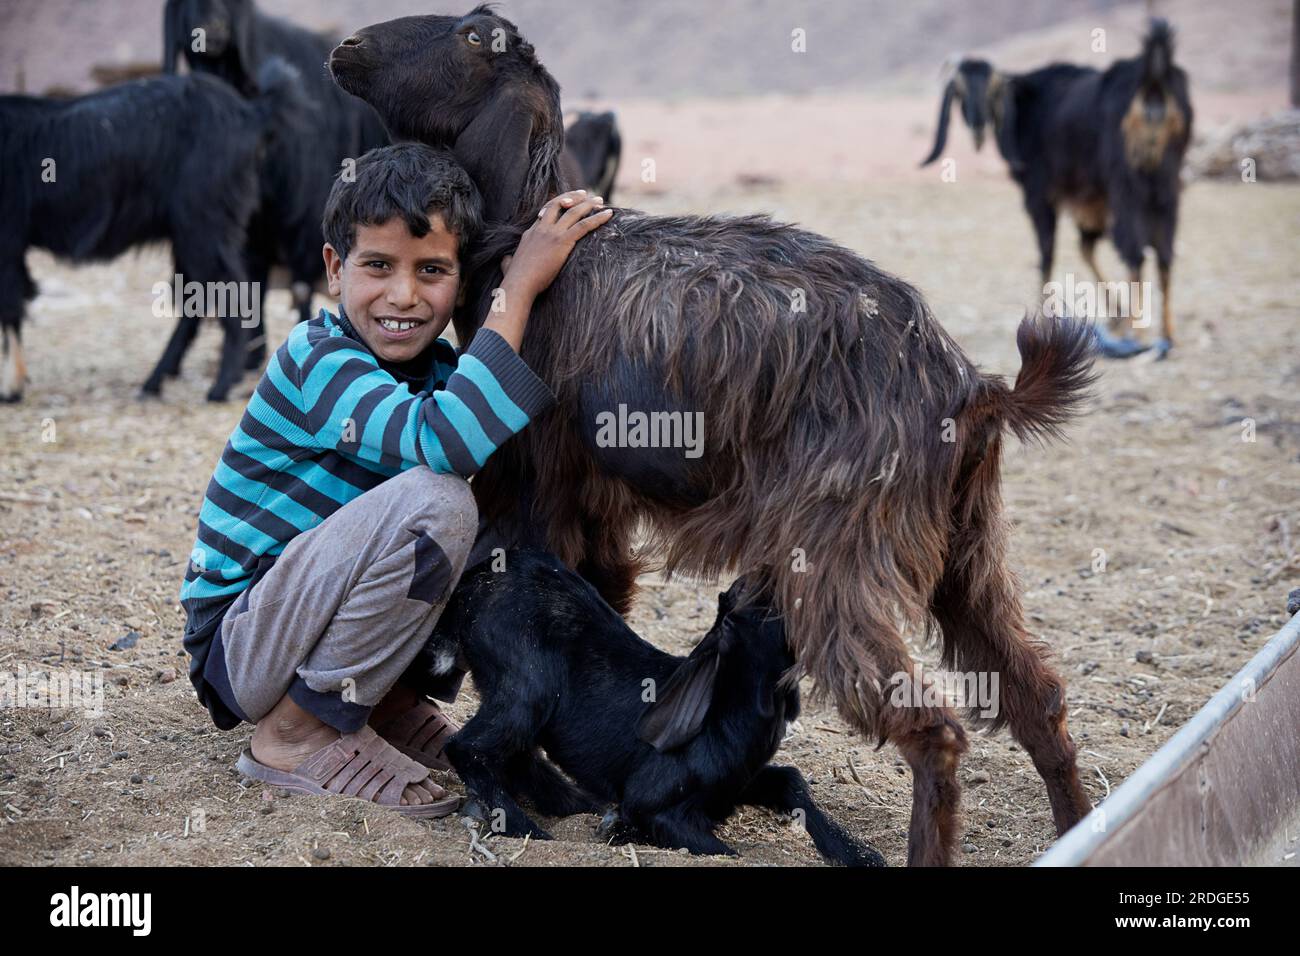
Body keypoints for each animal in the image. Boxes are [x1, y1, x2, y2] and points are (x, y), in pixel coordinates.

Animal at [0, 63, 300, 402]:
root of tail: (250, 113)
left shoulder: (7, 238)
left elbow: (9, 305)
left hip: (203, 223)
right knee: (198, 296)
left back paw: (218, 388)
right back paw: (154, 383)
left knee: (230, 293)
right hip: (190, 232)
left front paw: (11, 389)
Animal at [163, 0, 389, 370]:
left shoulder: (302, 214)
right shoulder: (250, 224)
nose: (211, 28)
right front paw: (251, 356)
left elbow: (300, 279)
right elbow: (252, 282)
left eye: (232, 7)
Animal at [411, 548, 885, 865]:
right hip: (528, 686)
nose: (777, 562)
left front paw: (861, 853)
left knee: (514, 753)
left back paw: (570, 802)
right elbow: (724, 850)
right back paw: (526, 827)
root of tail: (473, 582)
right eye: (750, 599)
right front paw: (618, 828)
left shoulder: (740, 782)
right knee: (467, 746)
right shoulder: (652, 801)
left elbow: (791, 780)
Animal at [922, 20, 1193, 360]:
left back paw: (1138, 332)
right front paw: (1115, 316)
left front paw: (1045, 318)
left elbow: (1047, 253)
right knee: (1164, 254)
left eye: (991, 91)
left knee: (1135, 253)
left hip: (1128, 184)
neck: (1029, 105)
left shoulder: (1041, 197)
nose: (978, 126)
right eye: (960, 91)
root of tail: (1153, 73)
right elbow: (1086, 248)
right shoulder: (1090, 203)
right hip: (1166, 185)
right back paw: (1166, 334)